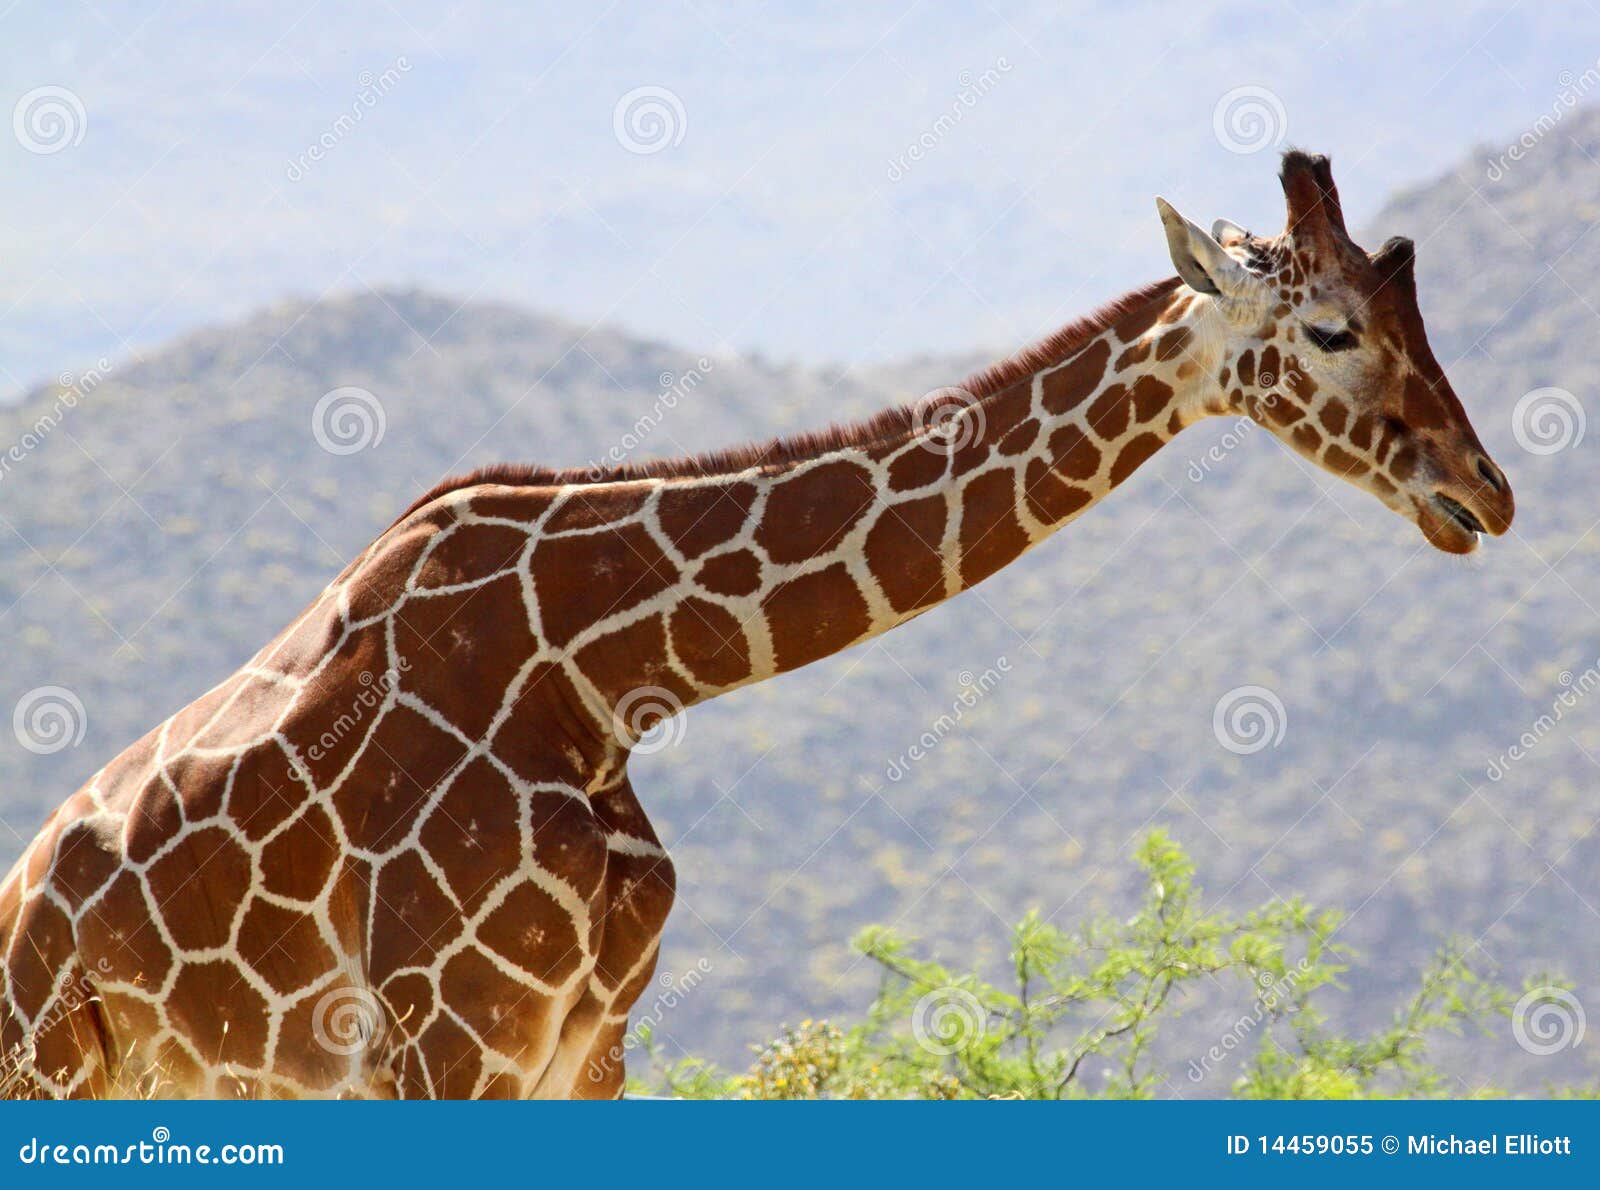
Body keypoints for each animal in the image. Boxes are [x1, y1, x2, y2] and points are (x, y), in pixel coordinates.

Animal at [0, 150, 1513, 1098]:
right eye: (1328, 330)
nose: (1485, 491)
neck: (602, 673)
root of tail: (22, 902)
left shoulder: (590, 1042)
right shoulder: (452, 1038)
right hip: (57, 1067)